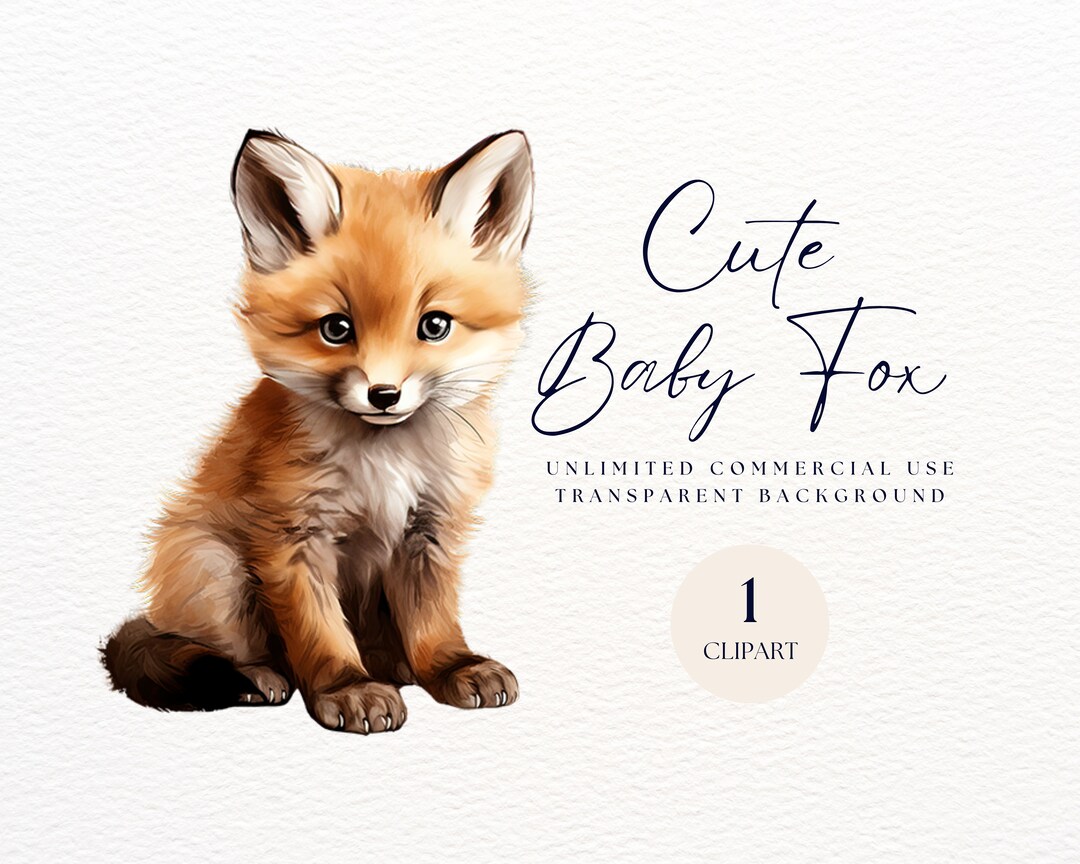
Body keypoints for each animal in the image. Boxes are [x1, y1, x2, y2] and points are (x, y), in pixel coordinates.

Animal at [102, 129, 534, 734]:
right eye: (336, 328)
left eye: (434, 325)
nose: (384, 395)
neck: (384, 462)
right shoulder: (292, 536)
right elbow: (320, 633)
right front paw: (346, 688)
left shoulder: (430, 530)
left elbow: (434, 621)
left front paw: (451, 666)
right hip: (217, 569)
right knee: (225, 648)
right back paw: (259, 677)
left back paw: (398, 667)